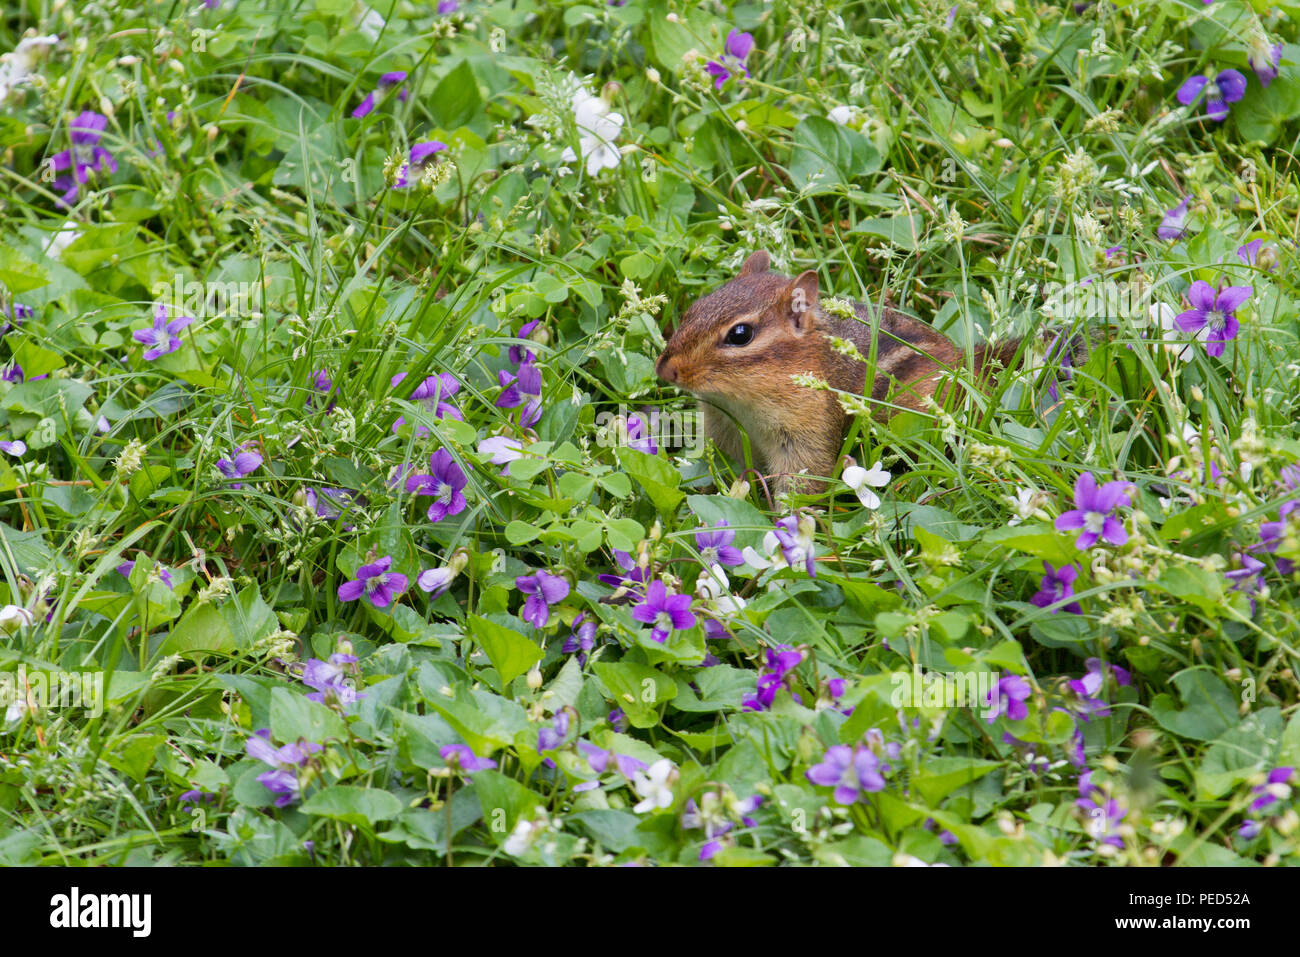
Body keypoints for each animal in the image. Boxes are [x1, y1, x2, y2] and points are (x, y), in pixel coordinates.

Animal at [655, 250, 1037, 496]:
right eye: (693, 309)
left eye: (740, 334)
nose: (665, 369)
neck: (741, 404)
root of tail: (972, 361)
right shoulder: (725, 433)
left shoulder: (806, 435)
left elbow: (802, 486)